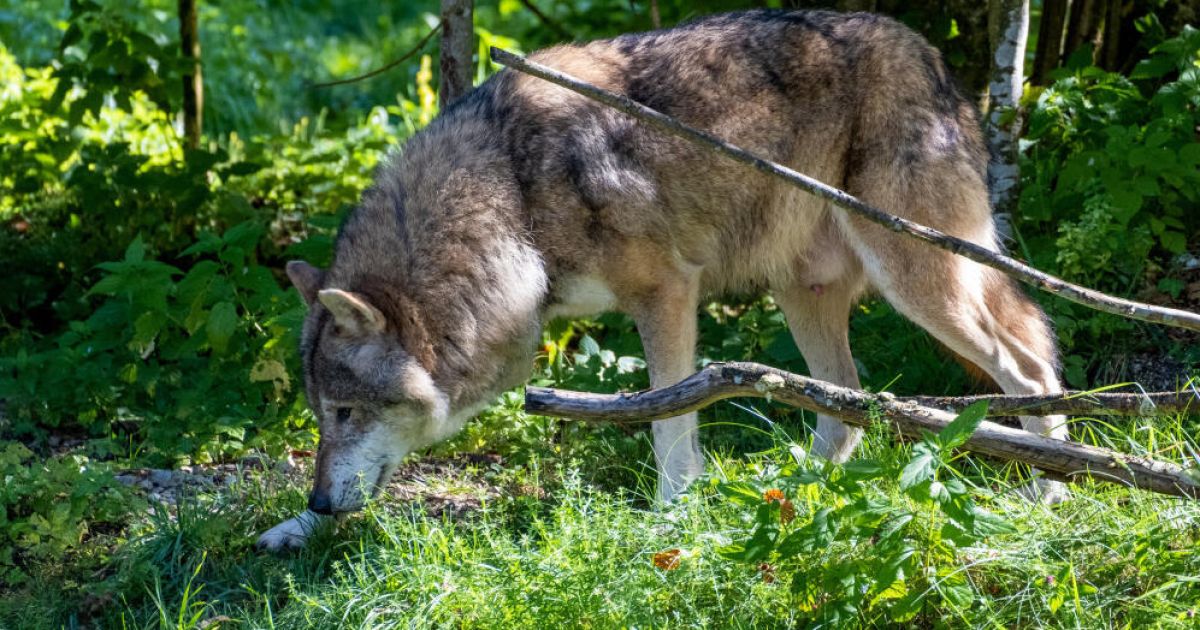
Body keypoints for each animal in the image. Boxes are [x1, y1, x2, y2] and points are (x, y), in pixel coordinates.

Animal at [257, 9, 1069, 550]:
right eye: (323, 416)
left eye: (347, 413)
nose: (320, 503)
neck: (510, 195)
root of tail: (931, 55)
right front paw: (290, 528)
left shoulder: (667, 295)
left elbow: (668, 421)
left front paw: (671, 517)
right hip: (804, 293)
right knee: (845, 406)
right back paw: (778, 500)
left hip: (919, 282)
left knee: (1027, 368)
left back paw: (1051, 488)